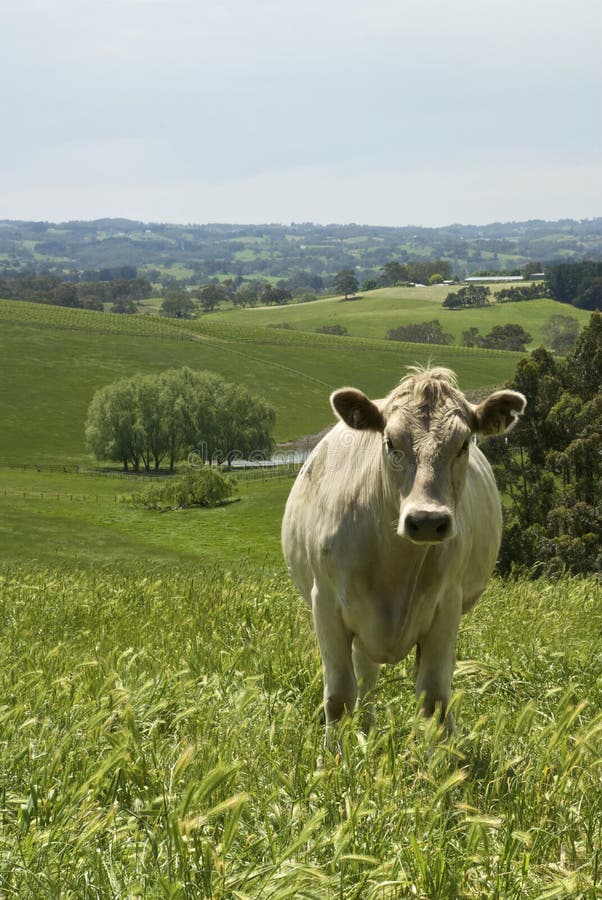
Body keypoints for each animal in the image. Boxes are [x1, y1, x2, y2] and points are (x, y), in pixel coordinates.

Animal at [281, 366, 526, 743]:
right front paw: (334, 757)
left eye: (463, 444)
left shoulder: (446, 607)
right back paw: (365, 734)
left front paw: (438, 758)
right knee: (366, 678)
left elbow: (434, 699)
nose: (426, 520)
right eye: (390, 443)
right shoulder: (326, 604)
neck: (394, 566)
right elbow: (338, 698)